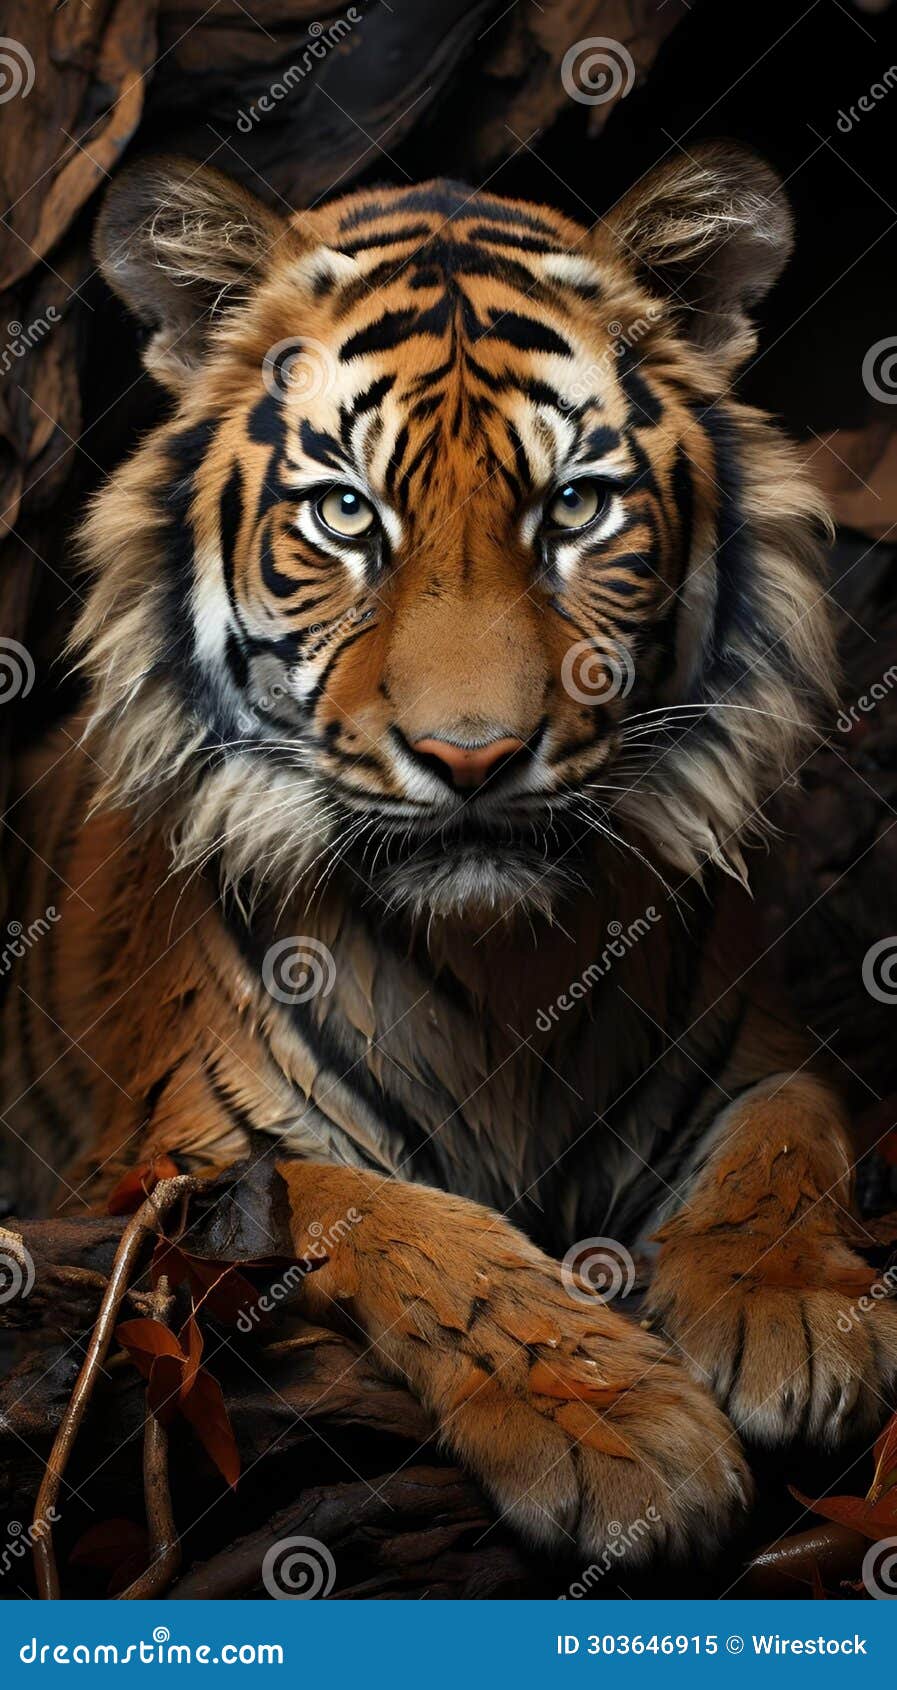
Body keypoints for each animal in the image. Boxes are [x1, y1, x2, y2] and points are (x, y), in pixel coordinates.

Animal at [3, 142, 896, 1571]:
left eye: (574, 507)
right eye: (345, 514)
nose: (472, 757)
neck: (508, 961)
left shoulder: (759, 1048)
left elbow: (788, 1131)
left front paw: (795, 1315)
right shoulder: (154, 1171)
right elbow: (391, 1216)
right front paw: (616, 1432)